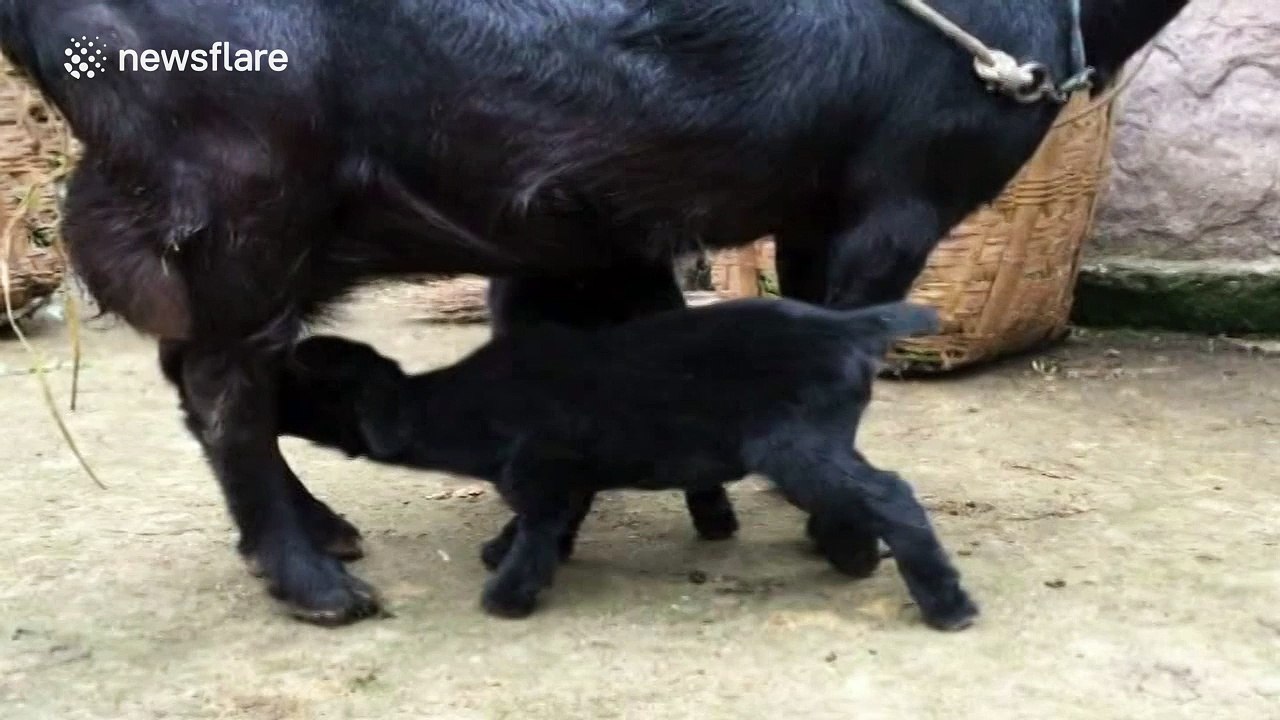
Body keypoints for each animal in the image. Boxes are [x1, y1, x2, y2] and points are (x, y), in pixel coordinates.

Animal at [0, 0, 1190, 623]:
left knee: (205, 371)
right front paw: (839, 542)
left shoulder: (814, 205)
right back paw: (323, 587)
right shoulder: (894, 196)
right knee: (221, 388)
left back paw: (329, 535)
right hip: (235, 182)